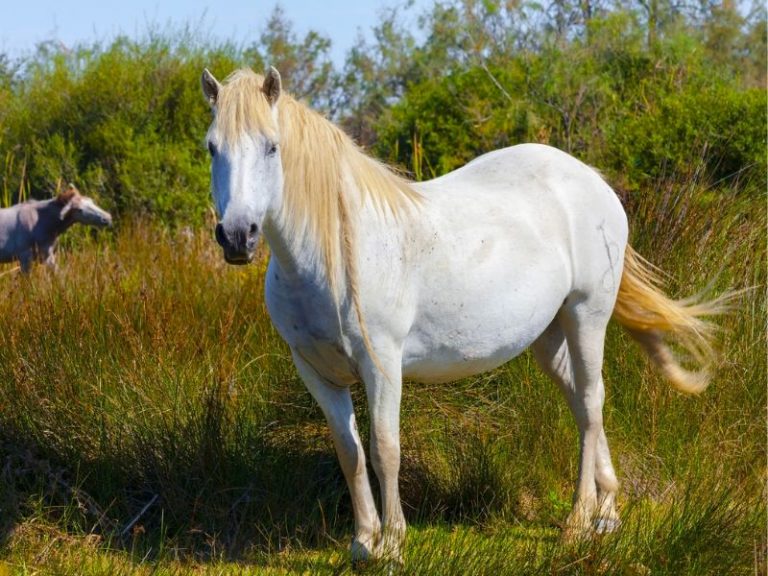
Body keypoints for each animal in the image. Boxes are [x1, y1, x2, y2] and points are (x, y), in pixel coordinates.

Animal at [201, 66, 723, 565]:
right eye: (212, 147)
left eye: (272, 147)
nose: (237, 236)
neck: (332, 254)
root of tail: (592, 181)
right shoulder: (316, 372)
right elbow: (350, 454)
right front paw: (363, 542)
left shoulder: (382, 366)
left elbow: (385, 449)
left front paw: (393, 545)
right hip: (549, 336)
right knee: (582, 403)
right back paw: (606, 512)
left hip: (586, 317)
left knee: (592, 403)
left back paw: (577, 522)